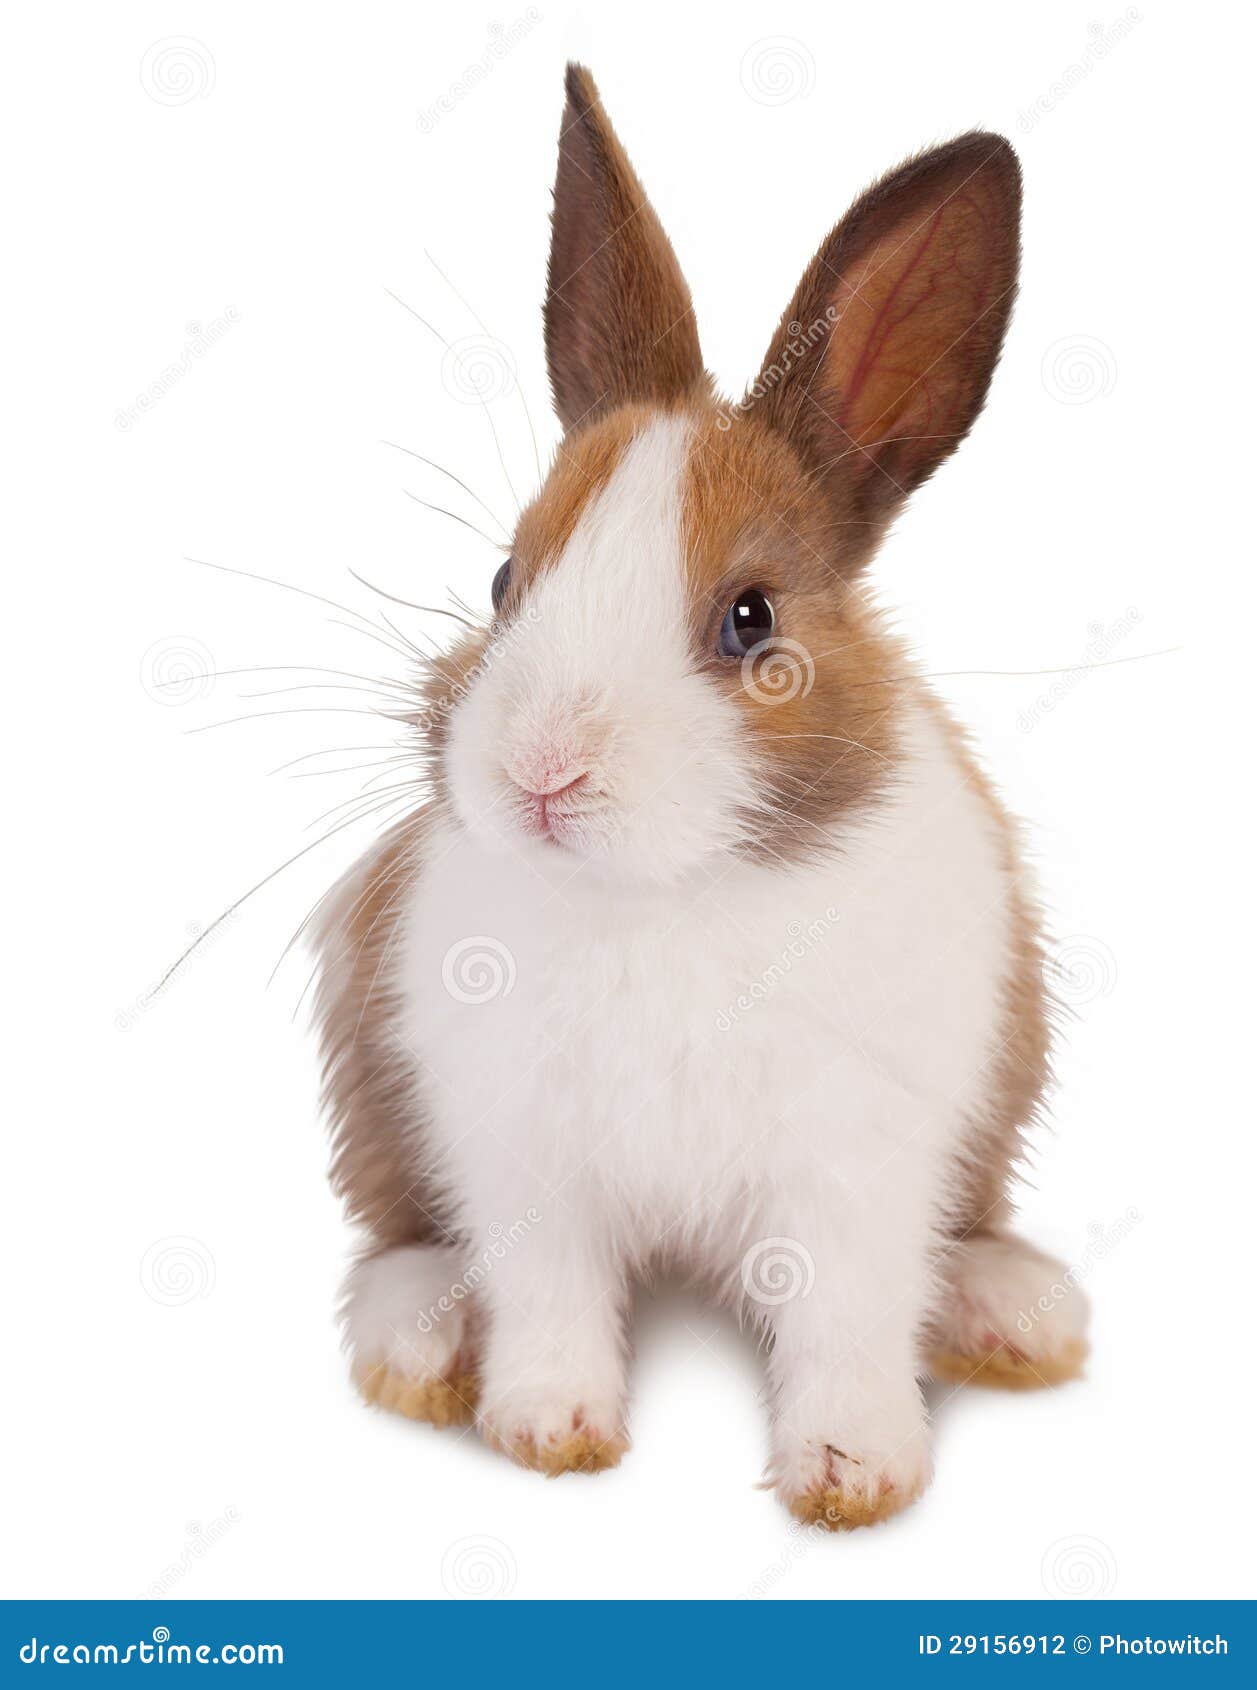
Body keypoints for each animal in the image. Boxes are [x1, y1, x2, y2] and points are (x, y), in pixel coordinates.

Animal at [314, 63, 1089, 1530]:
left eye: (751, 619)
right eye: (505, 580)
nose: (542, 769)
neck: (663, 894)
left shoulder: (856, 1167)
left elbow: (846, 1315)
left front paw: (855, 1472)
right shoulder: (521, 1154)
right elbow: (549, 1291)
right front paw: (548, 1428)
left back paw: (1009, 1307)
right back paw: (422, 1335)